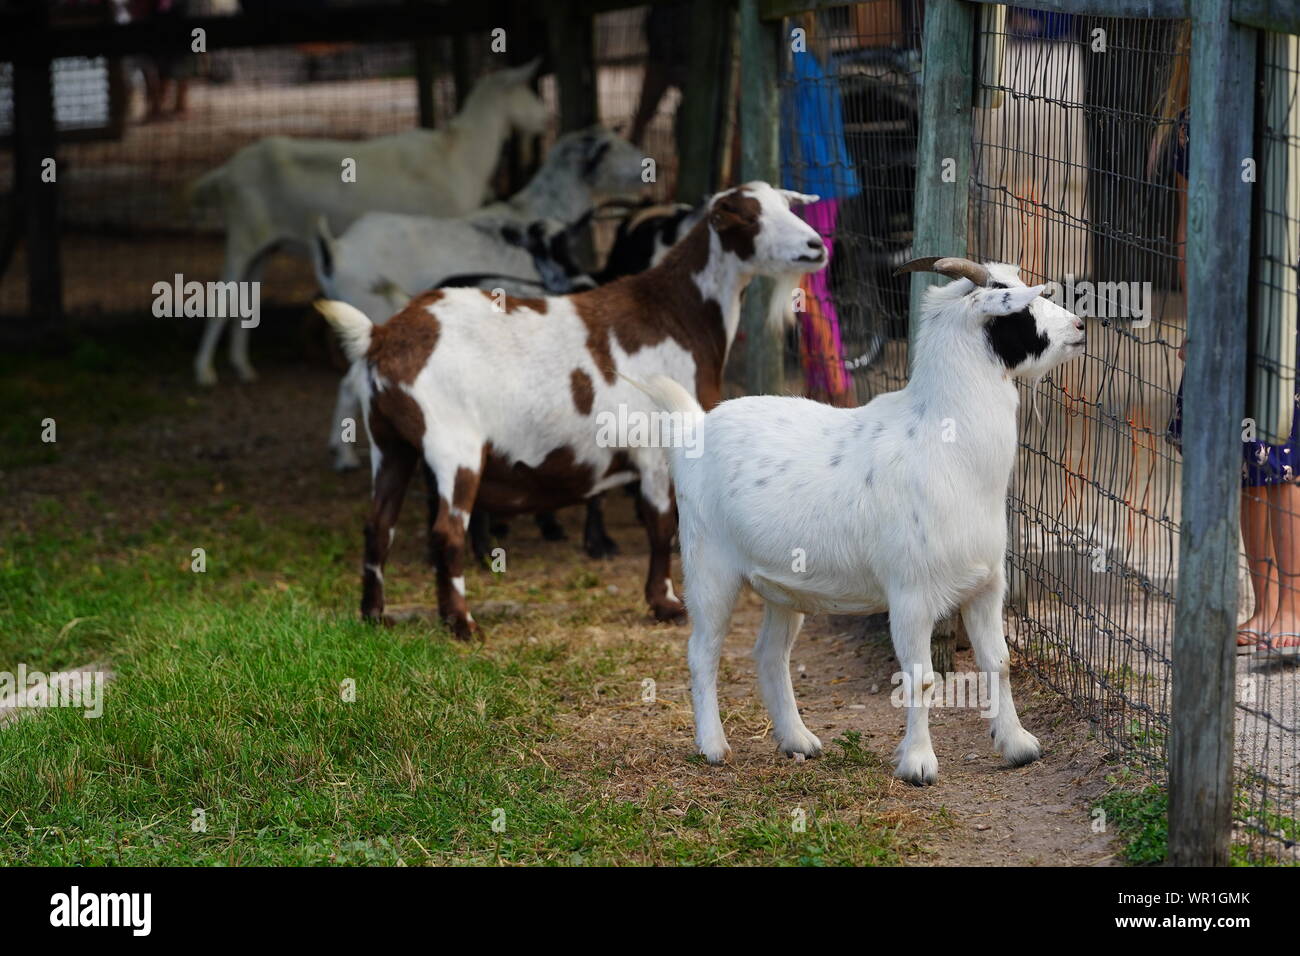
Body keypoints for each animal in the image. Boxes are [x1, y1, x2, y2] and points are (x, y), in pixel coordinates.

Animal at [189, 58, 547, 386]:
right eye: (529, 90)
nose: (545, 119)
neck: (460, 155)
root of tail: (225, 173)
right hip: (243, 236)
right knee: (221, 298)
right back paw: (205, 372)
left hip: (265, 245)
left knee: (245, 299)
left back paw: (243, 368)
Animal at [315, 182, 827, 639]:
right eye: (749, 217)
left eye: (788, 206)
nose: (815, 246)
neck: (676, 314)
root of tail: (380, 336)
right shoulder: (654, 448)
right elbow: (662, 526)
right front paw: (664, 603)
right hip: (451, 445)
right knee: (445, 533)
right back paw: (461, 623)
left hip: (389, 441)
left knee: (378, 525)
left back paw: (374, 616)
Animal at [634, 257, 1086, 784]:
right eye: (1017, 309)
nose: (1080, 326)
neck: (946, 446)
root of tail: (693, 427)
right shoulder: (910, 593)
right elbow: (921, 678)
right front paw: (918, 763)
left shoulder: (987, 584)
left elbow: (1000, 662)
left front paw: (1016, 745)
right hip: (709, 566)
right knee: (702, 653)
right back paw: (712, 746)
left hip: (782, 586)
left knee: (770, 654)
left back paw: (798, 739)